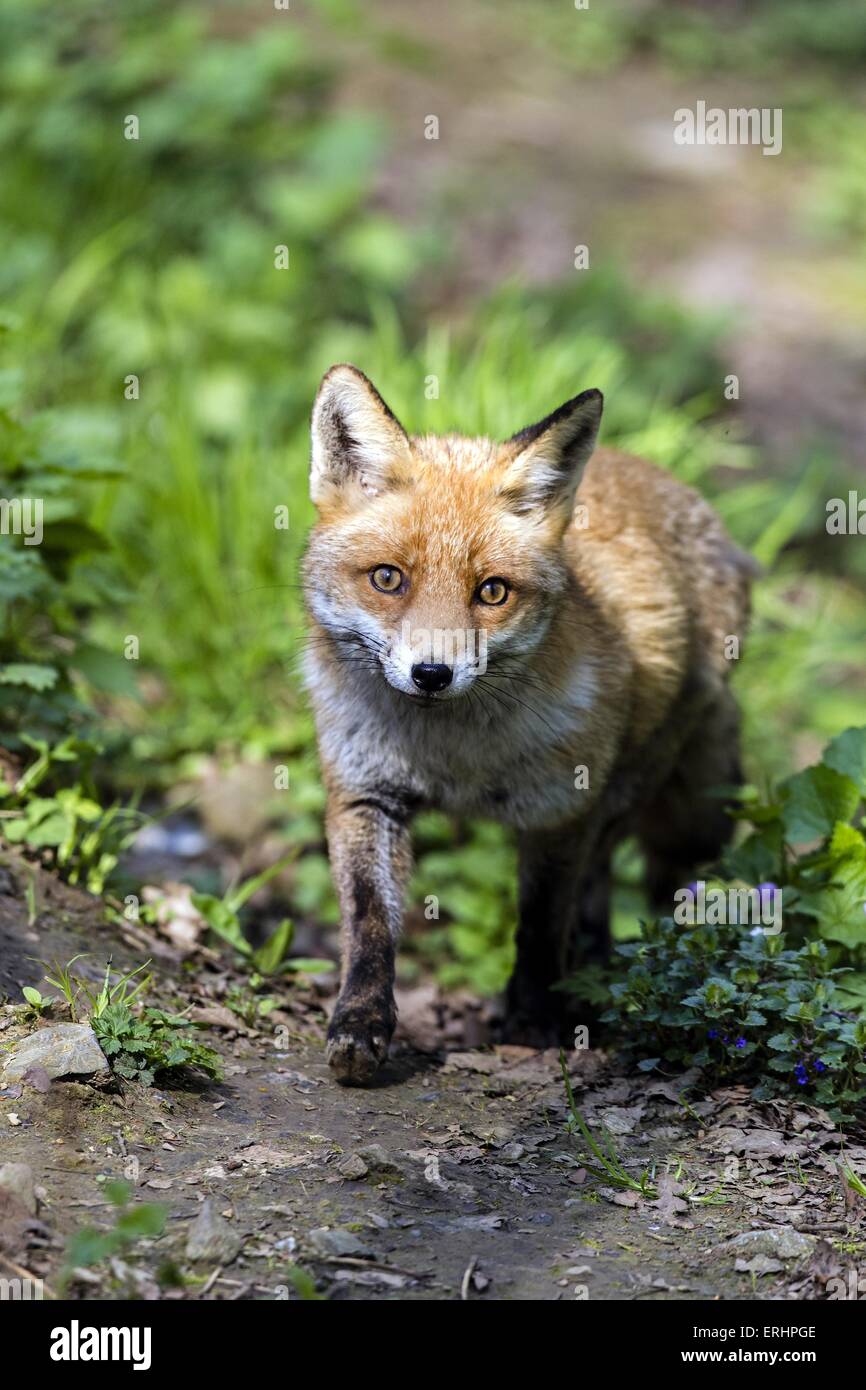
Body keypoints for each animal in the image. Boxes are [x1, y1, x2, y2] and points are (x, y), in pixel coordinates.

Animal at [302, 363, 754, 1085]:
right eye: (388, 579)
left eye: (492, 591)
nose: (432, 674)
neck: (453, 758)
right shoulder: (366, 795)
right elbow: (370, 921)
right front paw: (361, 1023)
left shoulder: (560, 810)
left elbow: (540, 923)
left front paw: (536, 1019)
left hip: (634, 785)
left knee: (599, 884)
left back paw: (591, 984)